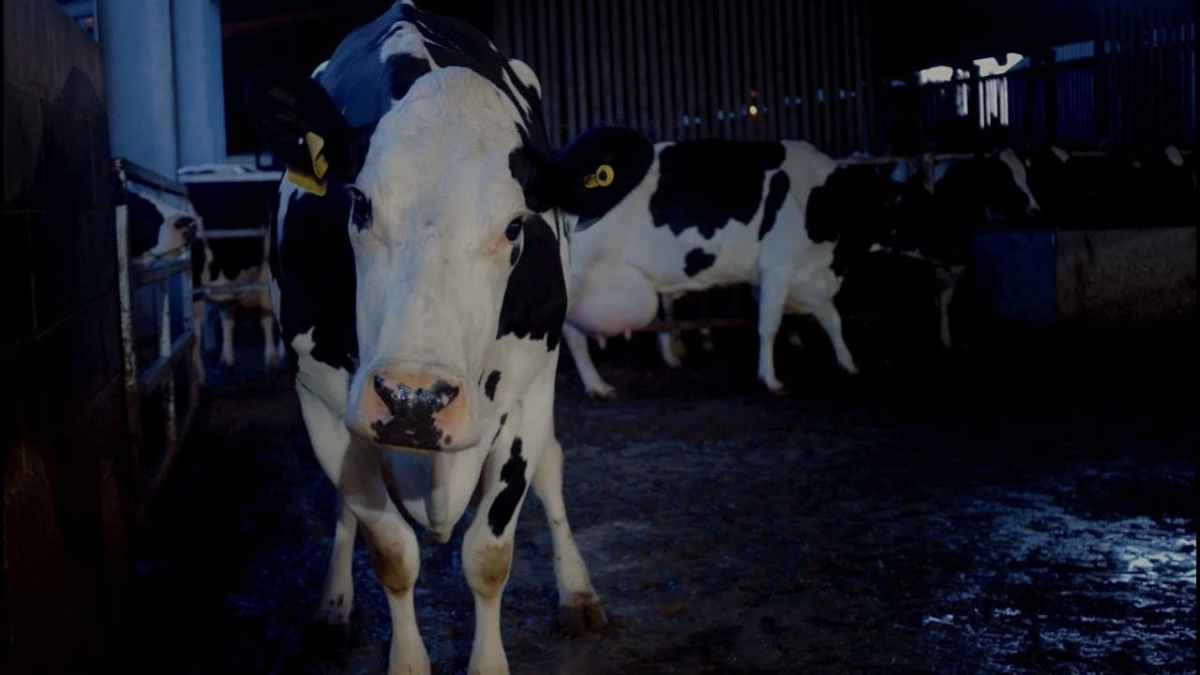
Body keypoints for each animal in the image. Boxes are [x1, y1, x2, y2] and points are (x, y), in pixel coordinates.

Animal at [251, 3, 644, 673]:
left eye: (514, 226)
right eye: (359, 205)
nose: (414, 399)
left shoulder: (522, 392)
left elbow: (487, 555)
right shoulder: (322, 398)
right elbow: (389, 549)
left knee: (552, 465)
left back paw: (578, 593)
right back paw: (333, 607)